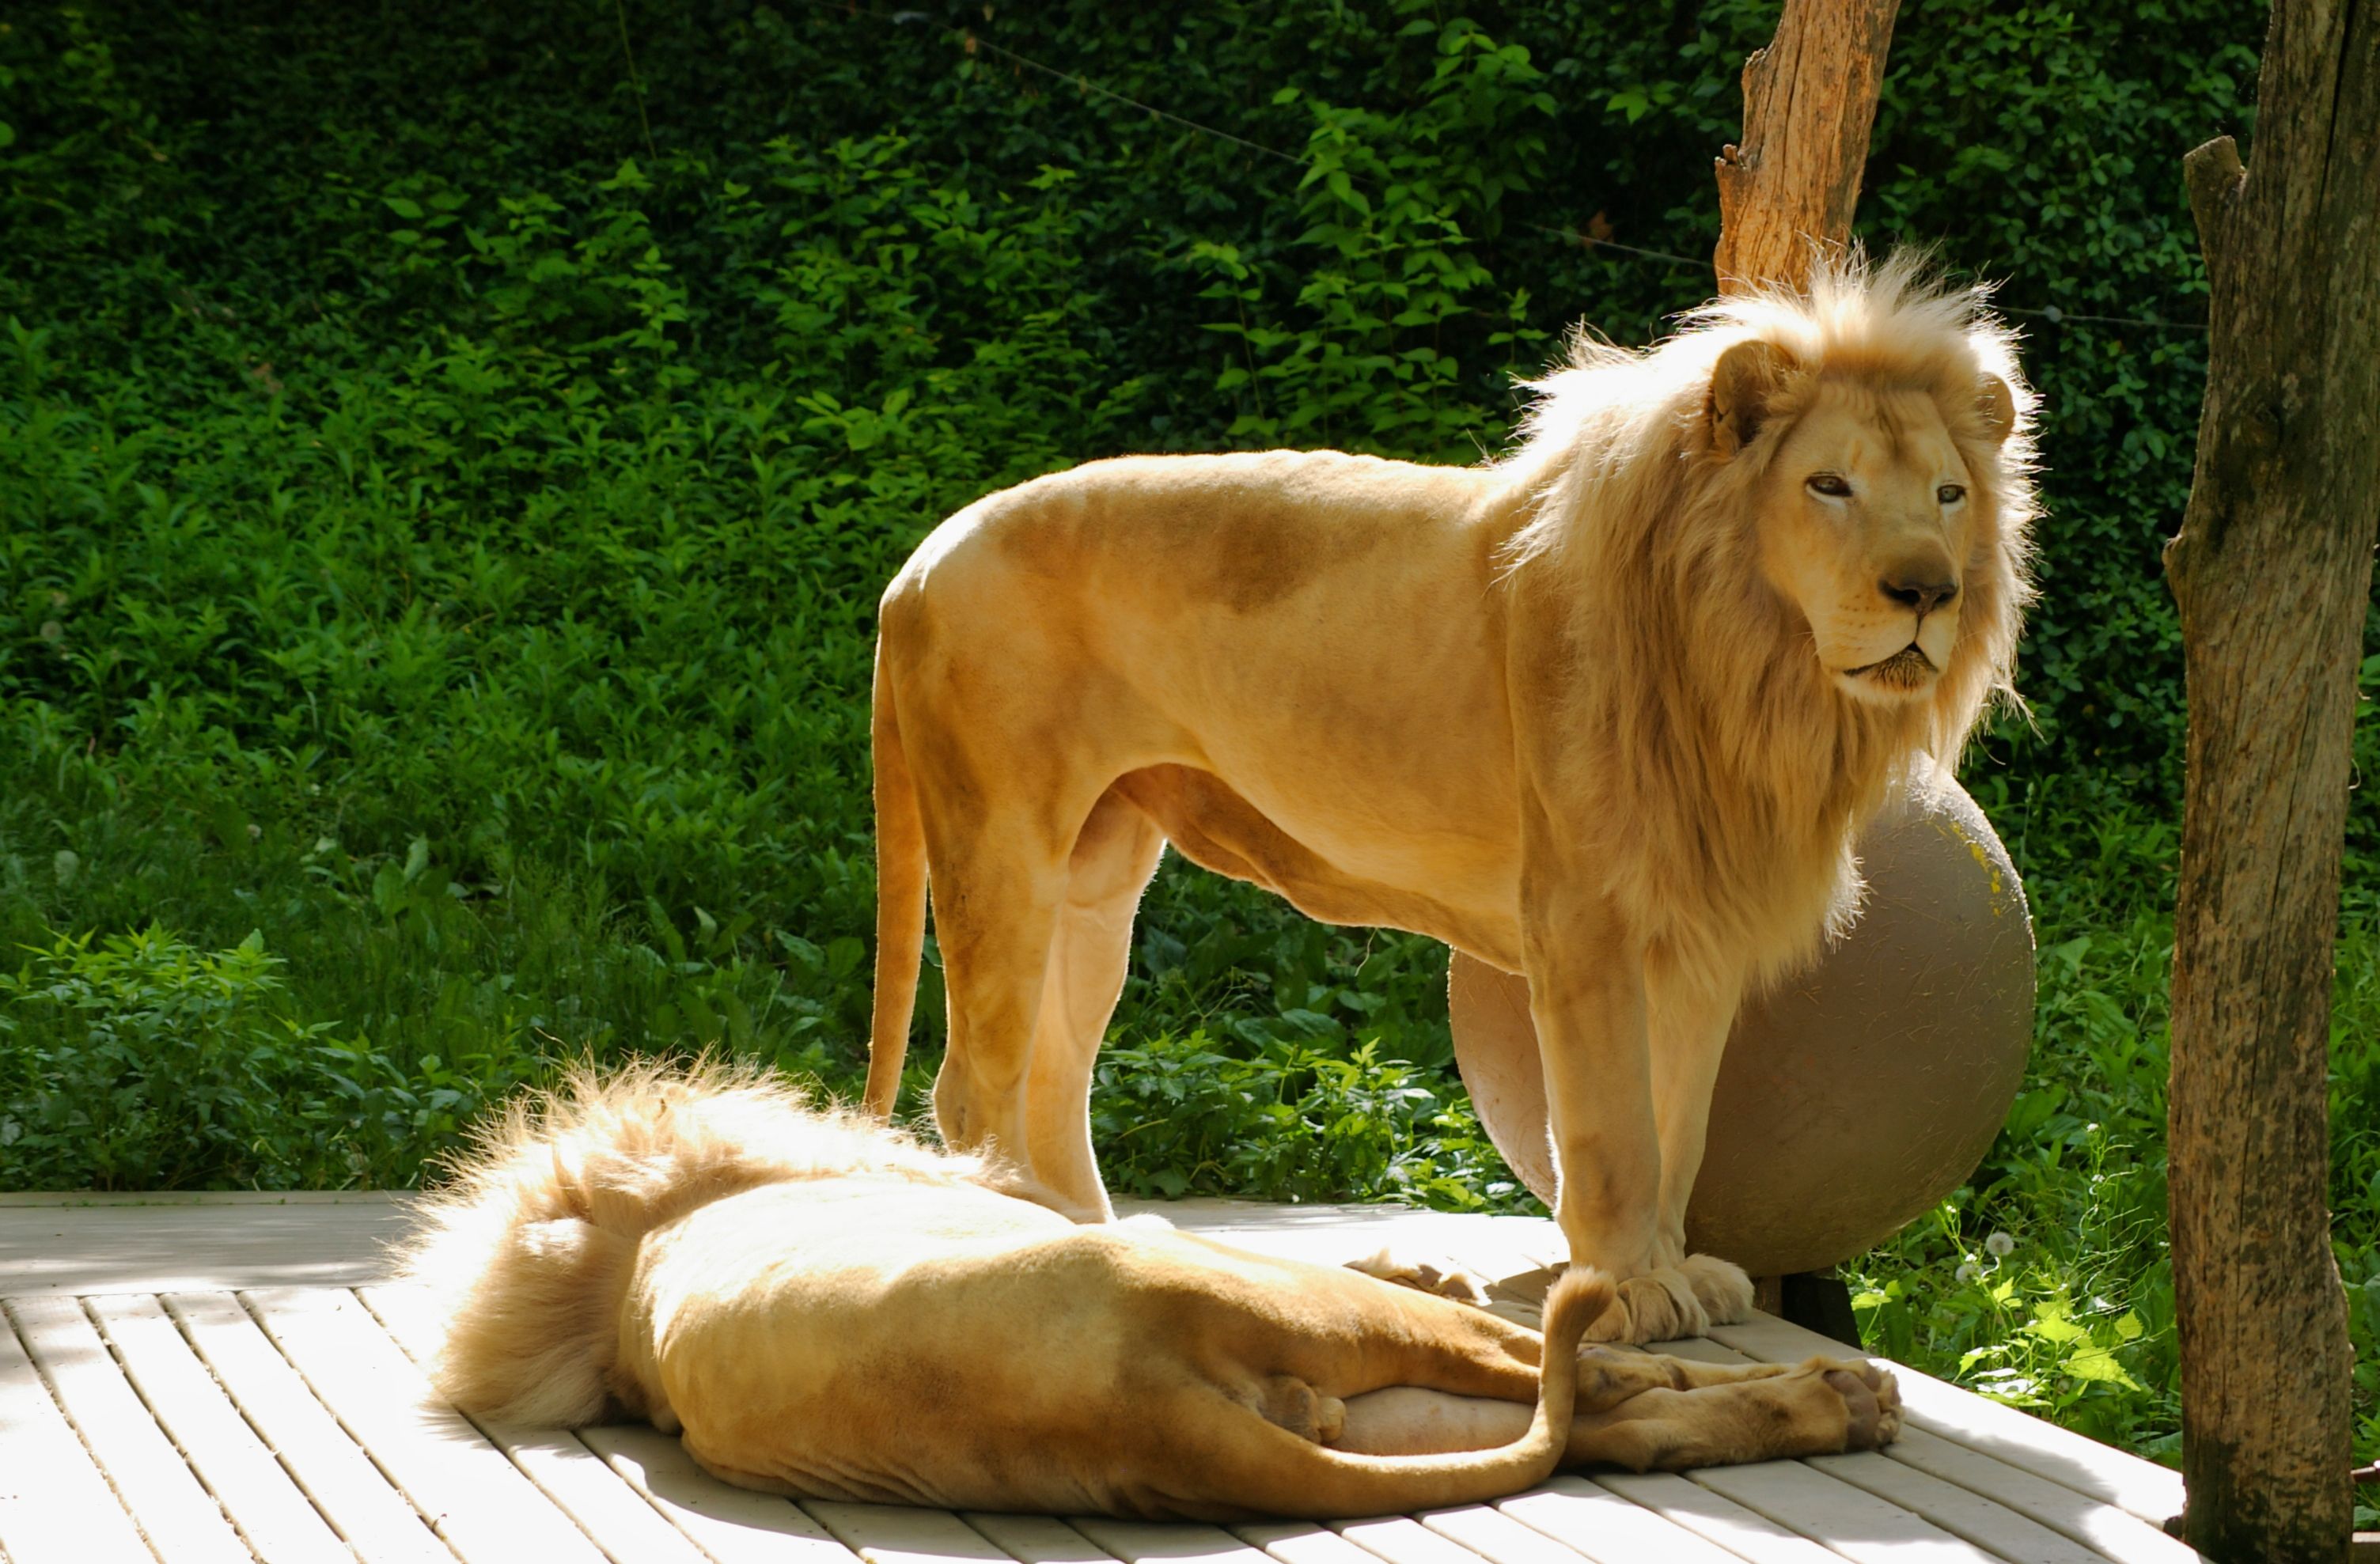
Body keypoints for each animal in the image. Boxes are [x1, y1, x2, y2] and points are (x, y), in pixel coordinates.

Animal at [400, 1062, 1901, 1521]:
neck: (634, 1241)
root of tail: (1128, 1408)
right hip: (1277, 1306)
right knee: (1588, 1374)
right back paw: (1843, 1385)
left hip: (1368, 1416)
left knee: (1599, 1418)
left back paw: (1838, 1401)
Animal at [861, 253, 2037, 1343]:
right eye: (1828, 486)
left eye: (1948, 495)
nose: (1929, 590)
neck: (1758, 673)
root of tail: (920, 558)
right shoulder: (1584, 923)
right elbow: (1613, 1132)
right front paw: (1627, 1290)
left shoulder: (1695, 933)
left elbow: (1681, 1126)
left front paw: (1669, 1272)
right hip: (1000, 841)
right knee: (972, 1090)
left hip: (1097, 875)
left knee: (1053, 1082)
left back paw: (1097, 1246)